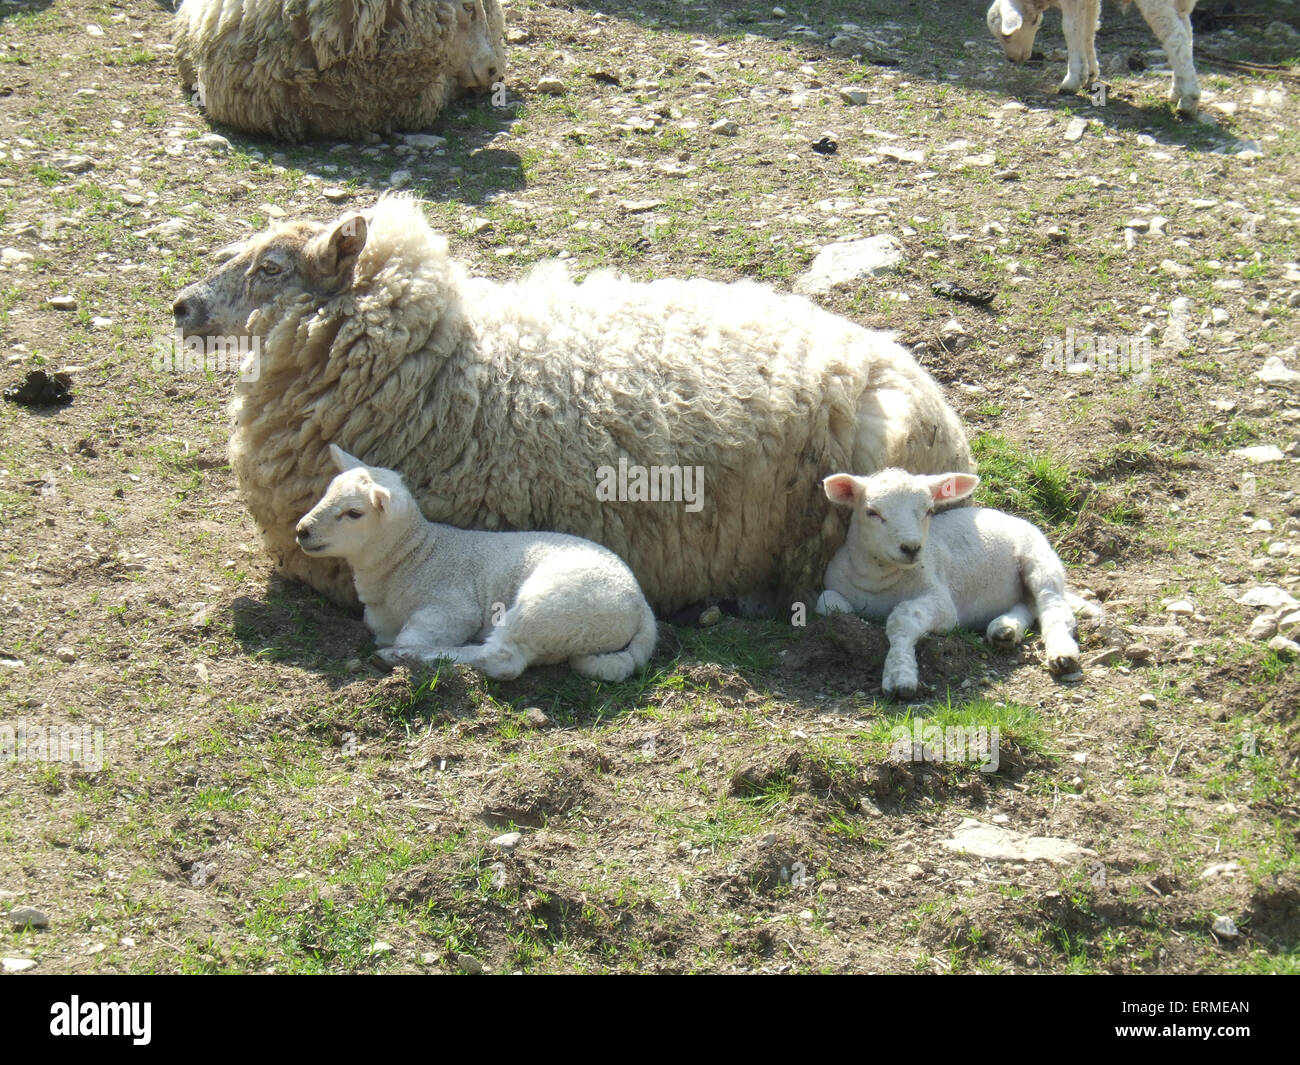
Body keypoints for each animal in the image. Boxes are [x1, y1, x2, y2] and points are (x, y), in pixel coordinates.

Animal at [297, 445, 658, 680]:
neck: (413, 556)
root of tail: (641, 606)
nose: (302, 531)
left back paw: (407, 658)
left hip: (554, 606)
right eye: (326, 493)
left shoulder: (451, 607)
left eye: (354, 513)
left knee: (503, 658)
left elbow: (410, 636)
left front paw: (404, 650)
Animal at [814, 468, 1081, 700]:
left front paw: (899, 676)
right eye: (872, 512)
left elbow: (902, 618)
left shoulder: (941, 601)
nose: (911, 548)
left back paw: (1062, 654)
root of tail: (1007, 515)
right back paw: (1005, 629)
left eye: (929, 511)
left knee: (1053, 606)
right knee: (1028, 604)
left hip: (1038, 556)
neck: (877, 581)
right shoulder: (834, 585)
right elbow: (827, 604)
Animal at [986, 0, 1200, 116]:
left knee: (1175, 38)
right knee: (1187, 34)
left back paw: (1189, 101)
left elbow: (1070, 28)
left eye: (1006, 36)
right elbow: (1088, 29)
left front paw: (1072, 81)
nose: (1012, 59)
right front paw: (1089, 75)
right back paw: (1177, 92)